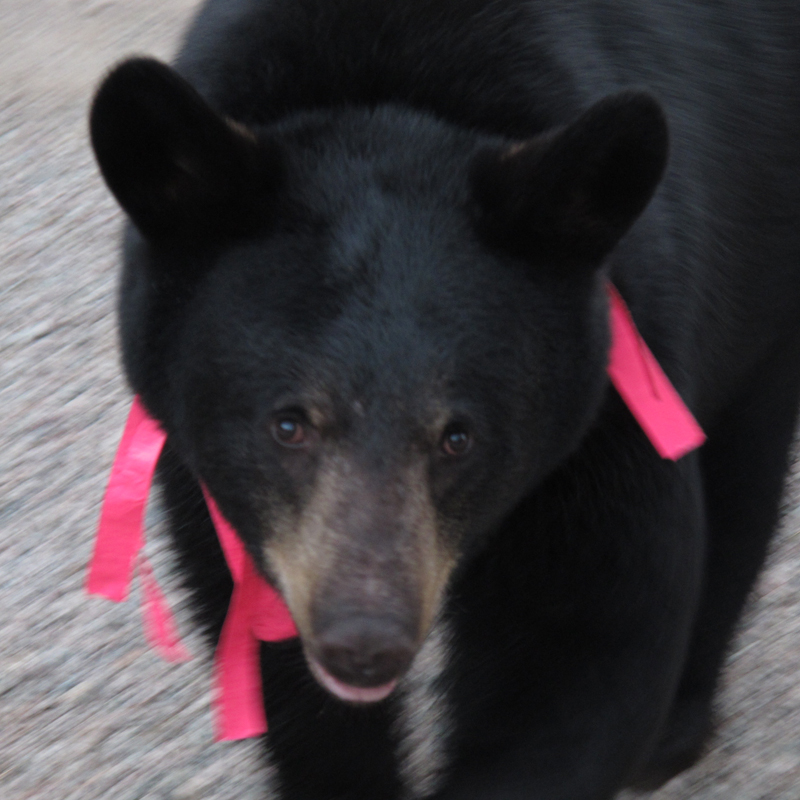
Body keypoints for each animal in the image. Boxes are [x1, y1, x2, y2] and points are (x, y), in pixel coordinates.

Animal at [88, 0, 800, 798]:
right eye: (288, 424)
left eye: (459, 437)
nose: (364, 643)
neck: (387, 91)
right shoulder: (209, 481)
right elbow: (288, 690)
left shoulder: (612, 405)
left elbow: (584, 652)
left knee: (743, 485)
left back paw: (677, 727)